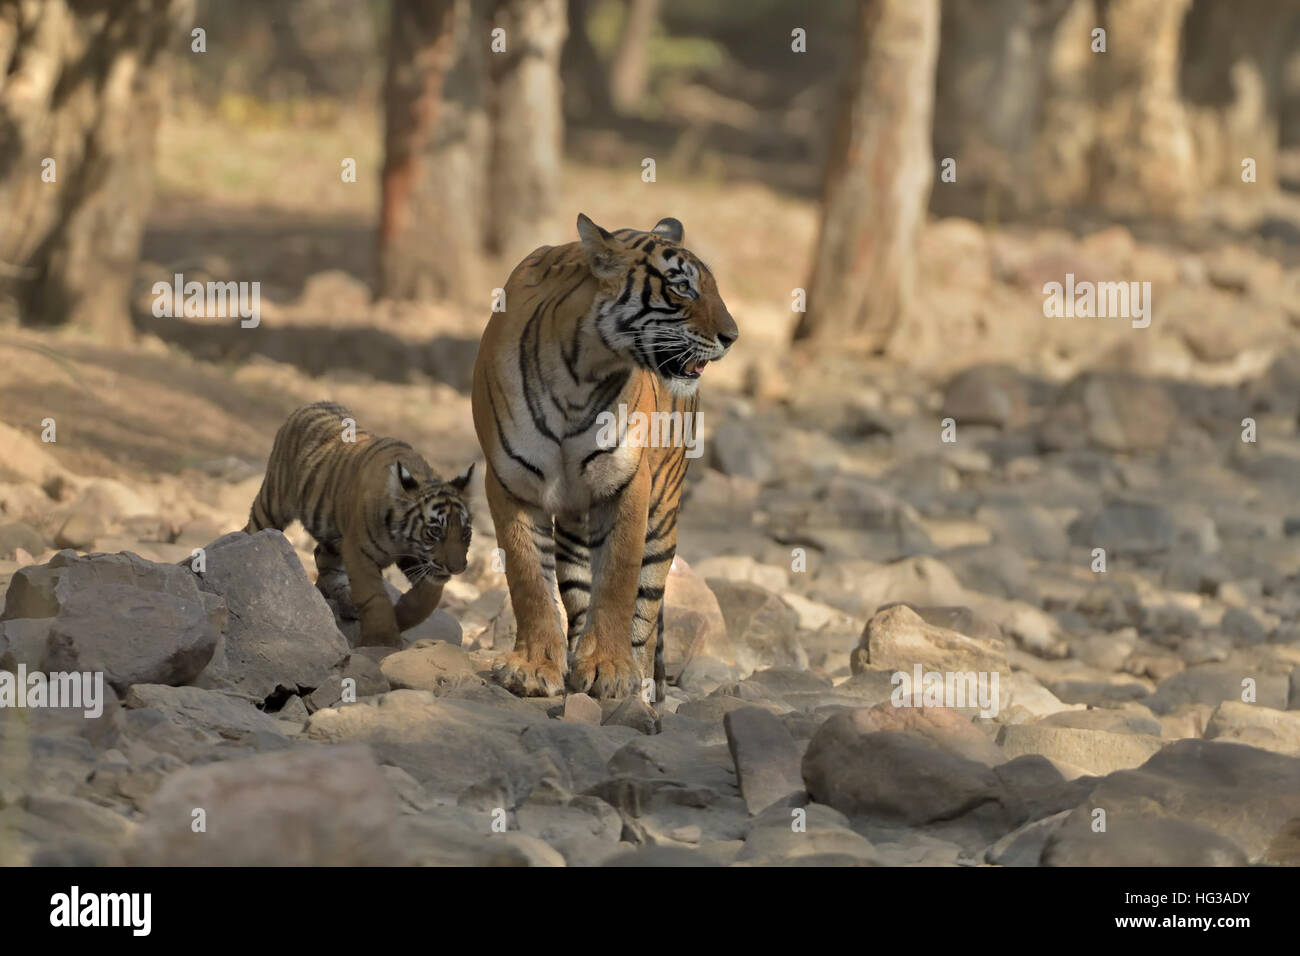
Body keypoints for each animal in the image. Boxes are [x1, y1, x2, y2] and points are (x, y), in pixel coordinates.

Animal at [243, 401, 474, 648]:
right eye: (435, 531)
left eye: (466, 533)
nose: (457, 568)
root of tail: (315, 403)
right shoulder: (359, 551)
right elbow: (374, 596)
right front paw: (382, 639)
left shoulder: (413, 557)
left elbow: (428, 598)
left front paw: (400, 616)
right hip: (272, 504)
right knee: (252, 532)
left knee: (323, 557)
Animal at [471, 213, 737, 701]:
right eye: (682, 287)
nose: (732, 336)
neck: (580, 372)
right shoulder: (509, 482)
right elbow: (527, 578)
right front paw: (534, 666)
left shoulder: (627, 483)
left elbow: (618, 581)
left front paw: (610, 668)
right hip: (575, 522)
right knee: (577, 593)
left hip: (662, 517)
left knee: (646, 608)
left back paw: (638, 684)